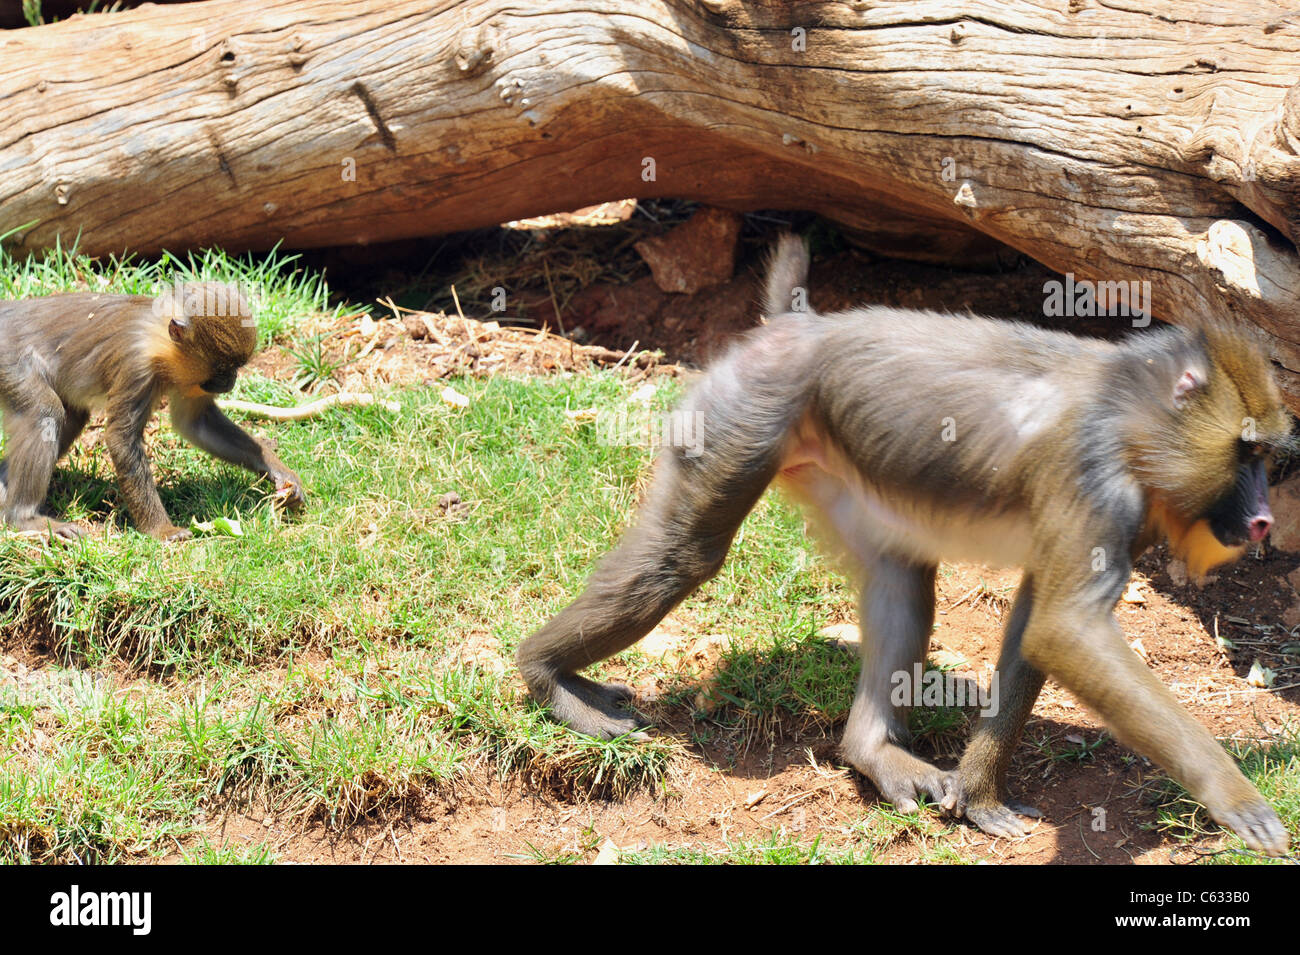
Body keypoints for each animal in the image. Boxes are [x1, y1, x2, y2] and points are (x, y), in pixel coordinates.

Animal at [0, 282, 305, 542]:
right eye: (222, 369)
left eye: (235, 368)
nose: (231, 382)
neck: (156, 337)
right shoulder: (137, 367)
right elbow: (121, 439)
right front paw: (162, 530)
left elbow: (196, 423)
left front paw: (275, 468)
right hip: (9, 362)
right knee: (44, 411)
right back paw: (24, 517)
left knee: (71, 417)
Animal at [517, 234, 1294, 856]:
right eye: (1245, 453)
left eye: (1266, 460)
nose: (1262, 519)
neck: (1129, 408)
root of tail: (797, 326)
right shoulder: (1095, 480)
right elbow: (1068, 631)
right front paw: (1237, 800)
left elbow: (1036, 626)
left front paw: (980, 795)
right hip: (746, 410)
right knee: (682, 557)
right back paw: (545, 674)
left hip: (838, 469)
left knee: (902, 579)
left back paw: (873, 751)